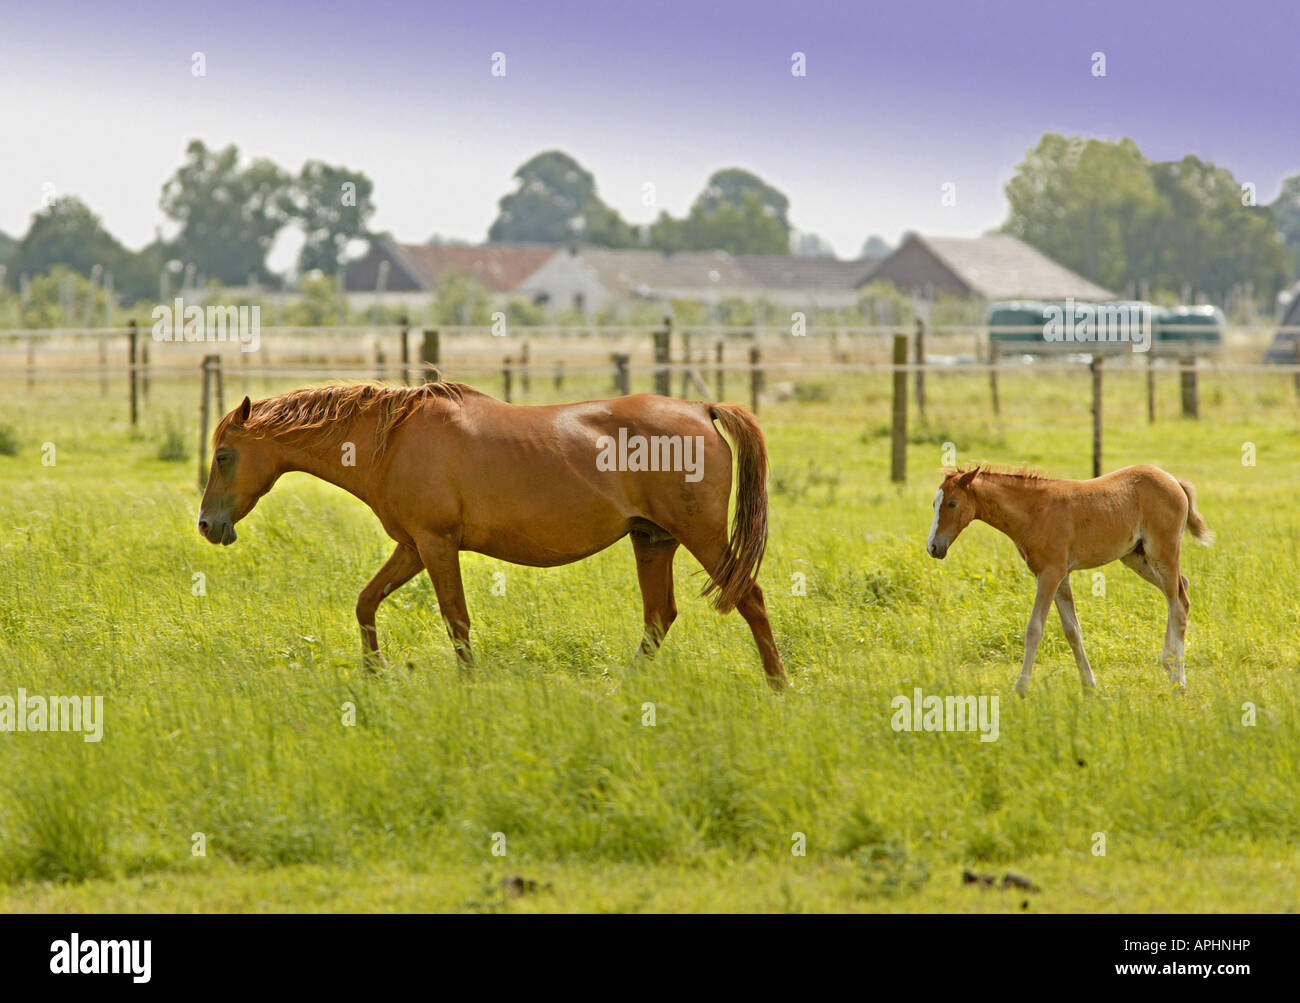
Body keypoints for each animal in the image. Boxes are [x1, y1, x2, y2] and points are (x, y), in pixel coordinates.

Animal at [197, 381, 790, 689]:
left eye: (224, 456)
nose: (207, 525)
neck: (394, 440)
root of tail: (702, 409)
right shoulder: (412, 547)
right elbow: (366, 602)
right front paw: (374, 673)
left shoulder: (435, 544)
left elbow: (455, 618)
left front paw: (468, 685)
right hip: (653, 541)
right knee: (659, 617)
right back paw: (624, 688)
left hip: (700, 536)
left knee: (750, 599)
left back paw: (778, 685)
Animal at [925, 464, 1212, 694]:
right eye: (934, 504)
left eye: (952, 503)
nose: (933, 547)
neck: (1033, 511)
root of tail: (1174, 481)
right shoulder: (1061, 576)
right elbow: (1072, 630)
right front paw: (1089, 685)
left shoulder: (1050, 574)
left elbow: (1034, 629)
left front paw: (1020, 688)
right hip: (1136, 557)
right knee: (1180, 591)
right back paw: (1170, 668)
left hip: (1162, 552)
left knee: (1178, 603)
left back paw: (1178, 681)